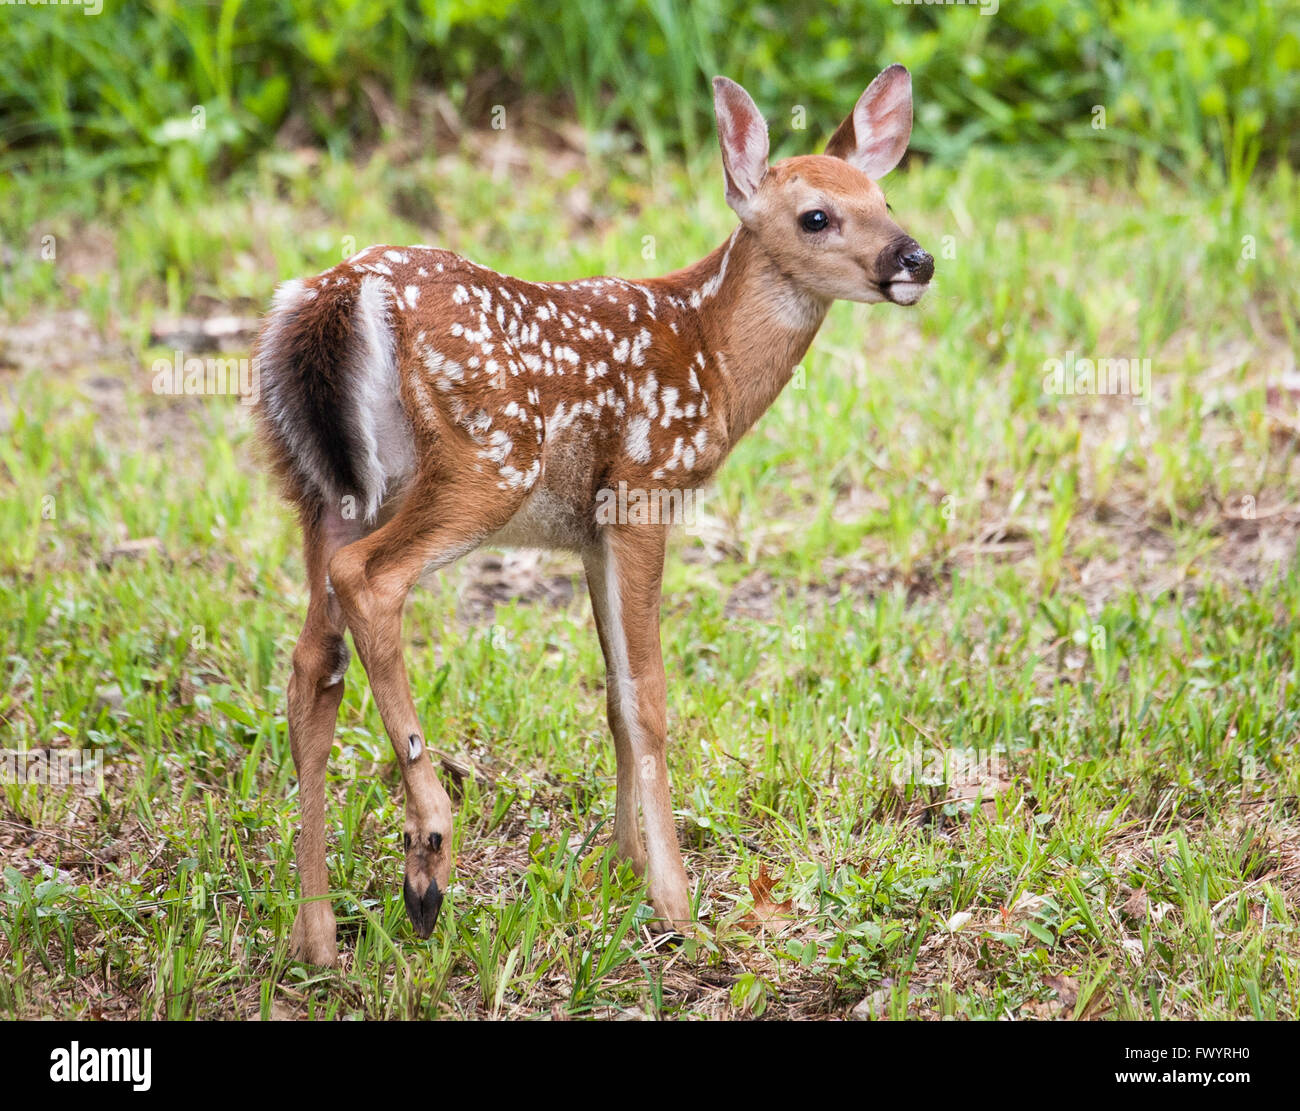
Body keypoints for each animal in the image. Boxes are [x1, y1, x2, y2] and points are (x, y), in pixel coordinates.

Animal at [254, 64, 933, 966]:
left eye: (885, 198)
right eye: (817, 215)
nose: (916, 258)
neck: (714, 358)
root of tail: (340, 293)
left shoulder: (588, 530)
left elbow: (612, 698)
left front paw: (619, 865)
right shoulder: (644, 489)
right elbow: (649, 700)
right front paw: (677, 906)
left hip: (321, 488)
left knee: (310, 665)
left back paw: (317, 938)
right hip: (484, 460)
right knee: (369, 580)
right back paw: (427, 856)